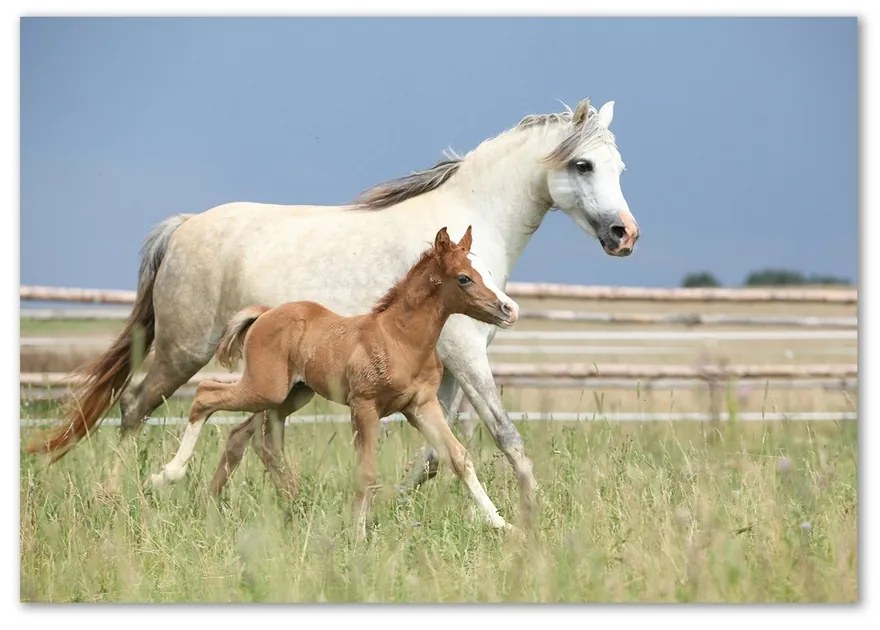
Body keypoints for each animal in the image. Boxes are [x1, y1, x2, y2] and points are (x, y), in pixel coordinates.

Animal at [148, 230, 520, 540]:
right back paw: (168, 475)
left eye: (487, 272)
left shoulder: (421, 406)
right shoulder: (364, 406)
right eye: (464, 278)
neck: (399, 338)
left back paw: (288, 502)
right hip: (265, 388)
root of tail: (265, 313)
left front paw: (503, 524)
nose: (509, 310)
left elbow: (459, 457)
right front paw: (357, 535)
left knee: (263, 440)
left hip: (293, 395)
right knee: (205, 395)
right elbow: (367, 472)